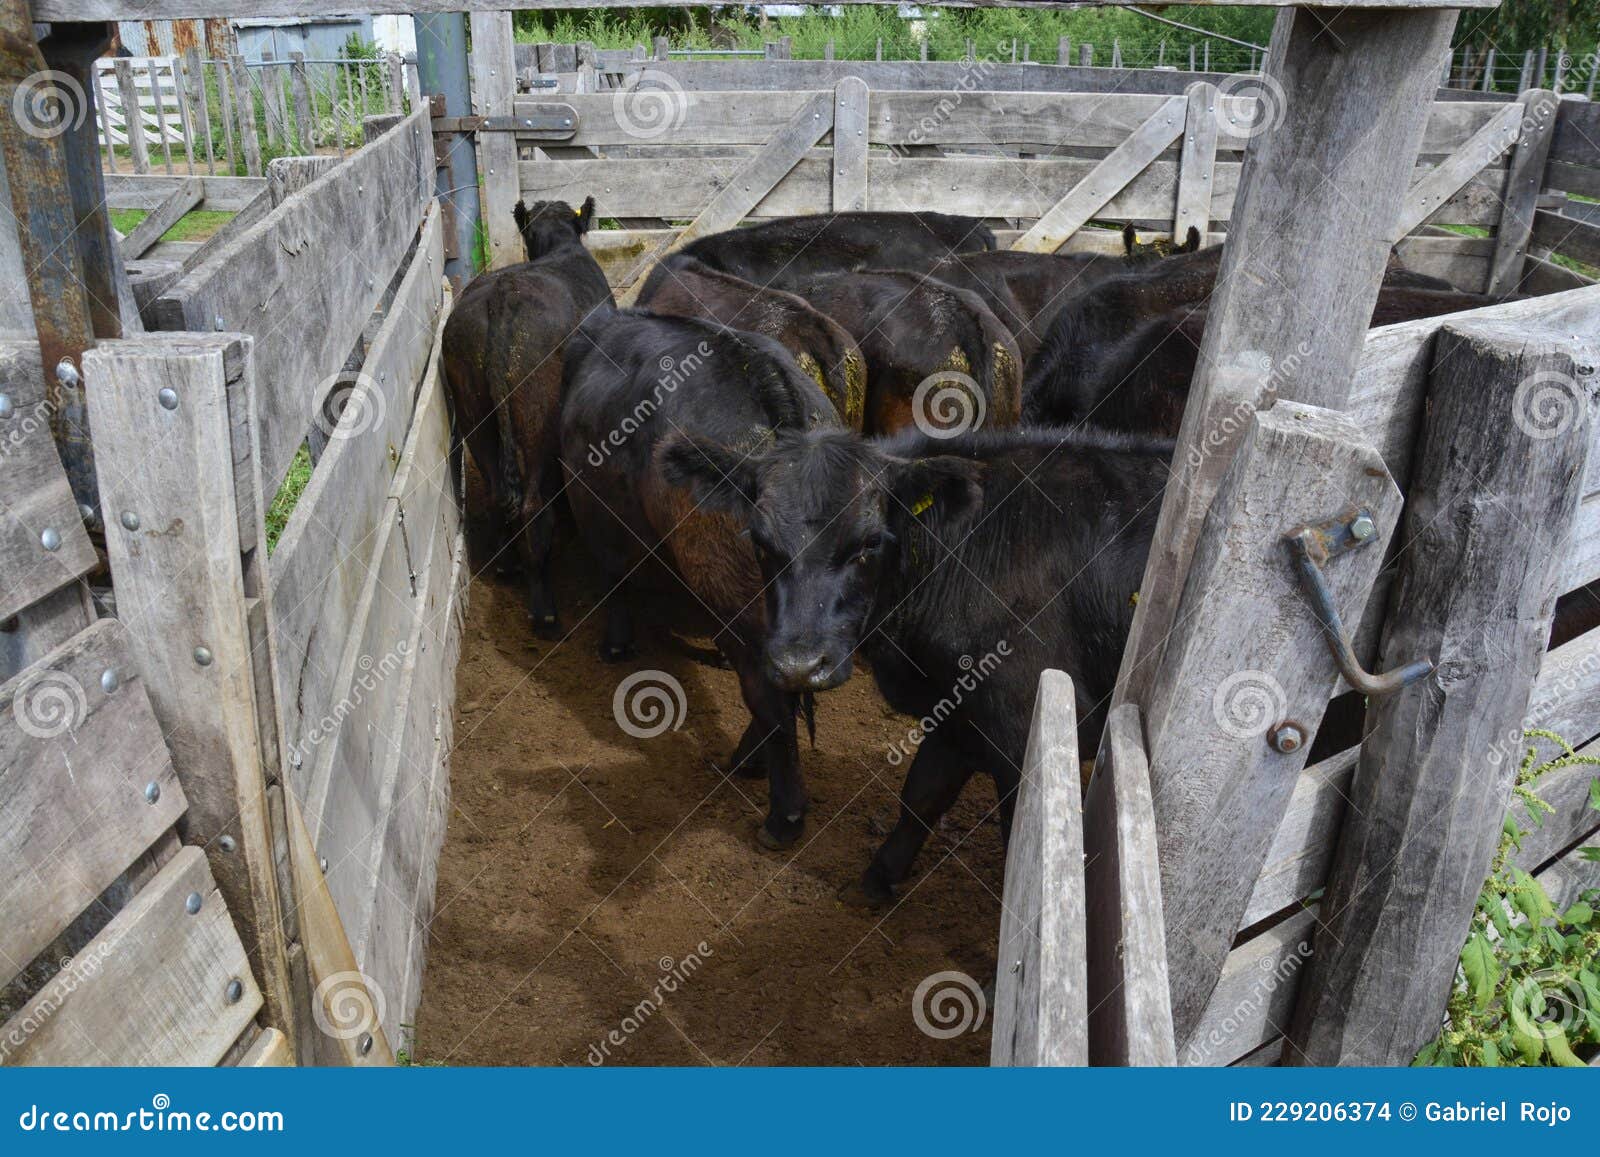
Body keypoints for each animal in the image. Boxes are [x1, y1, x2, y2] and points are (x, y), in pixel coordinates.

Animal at [441, 197, 613, 632]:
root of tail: (505, 296)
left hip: (474, 412)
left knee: (499, 494)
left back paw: (507, 566)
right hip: (538, 422)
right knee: (535, 508)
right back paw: (544, 608)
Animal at [560, 309, 841, 850]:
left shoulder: (598, 514)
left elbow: (615, 581)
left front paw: (616, 645)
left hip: (737, 604)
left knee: (771, 700)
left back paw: (781, 816)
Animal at [661, 423, 1171, 903]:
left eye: (869, 543)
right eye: (761, 541)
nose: (799, 666)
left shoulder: (1023, 728)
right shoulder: (956, 713)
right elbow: (922, 794)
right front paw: (877, 879)